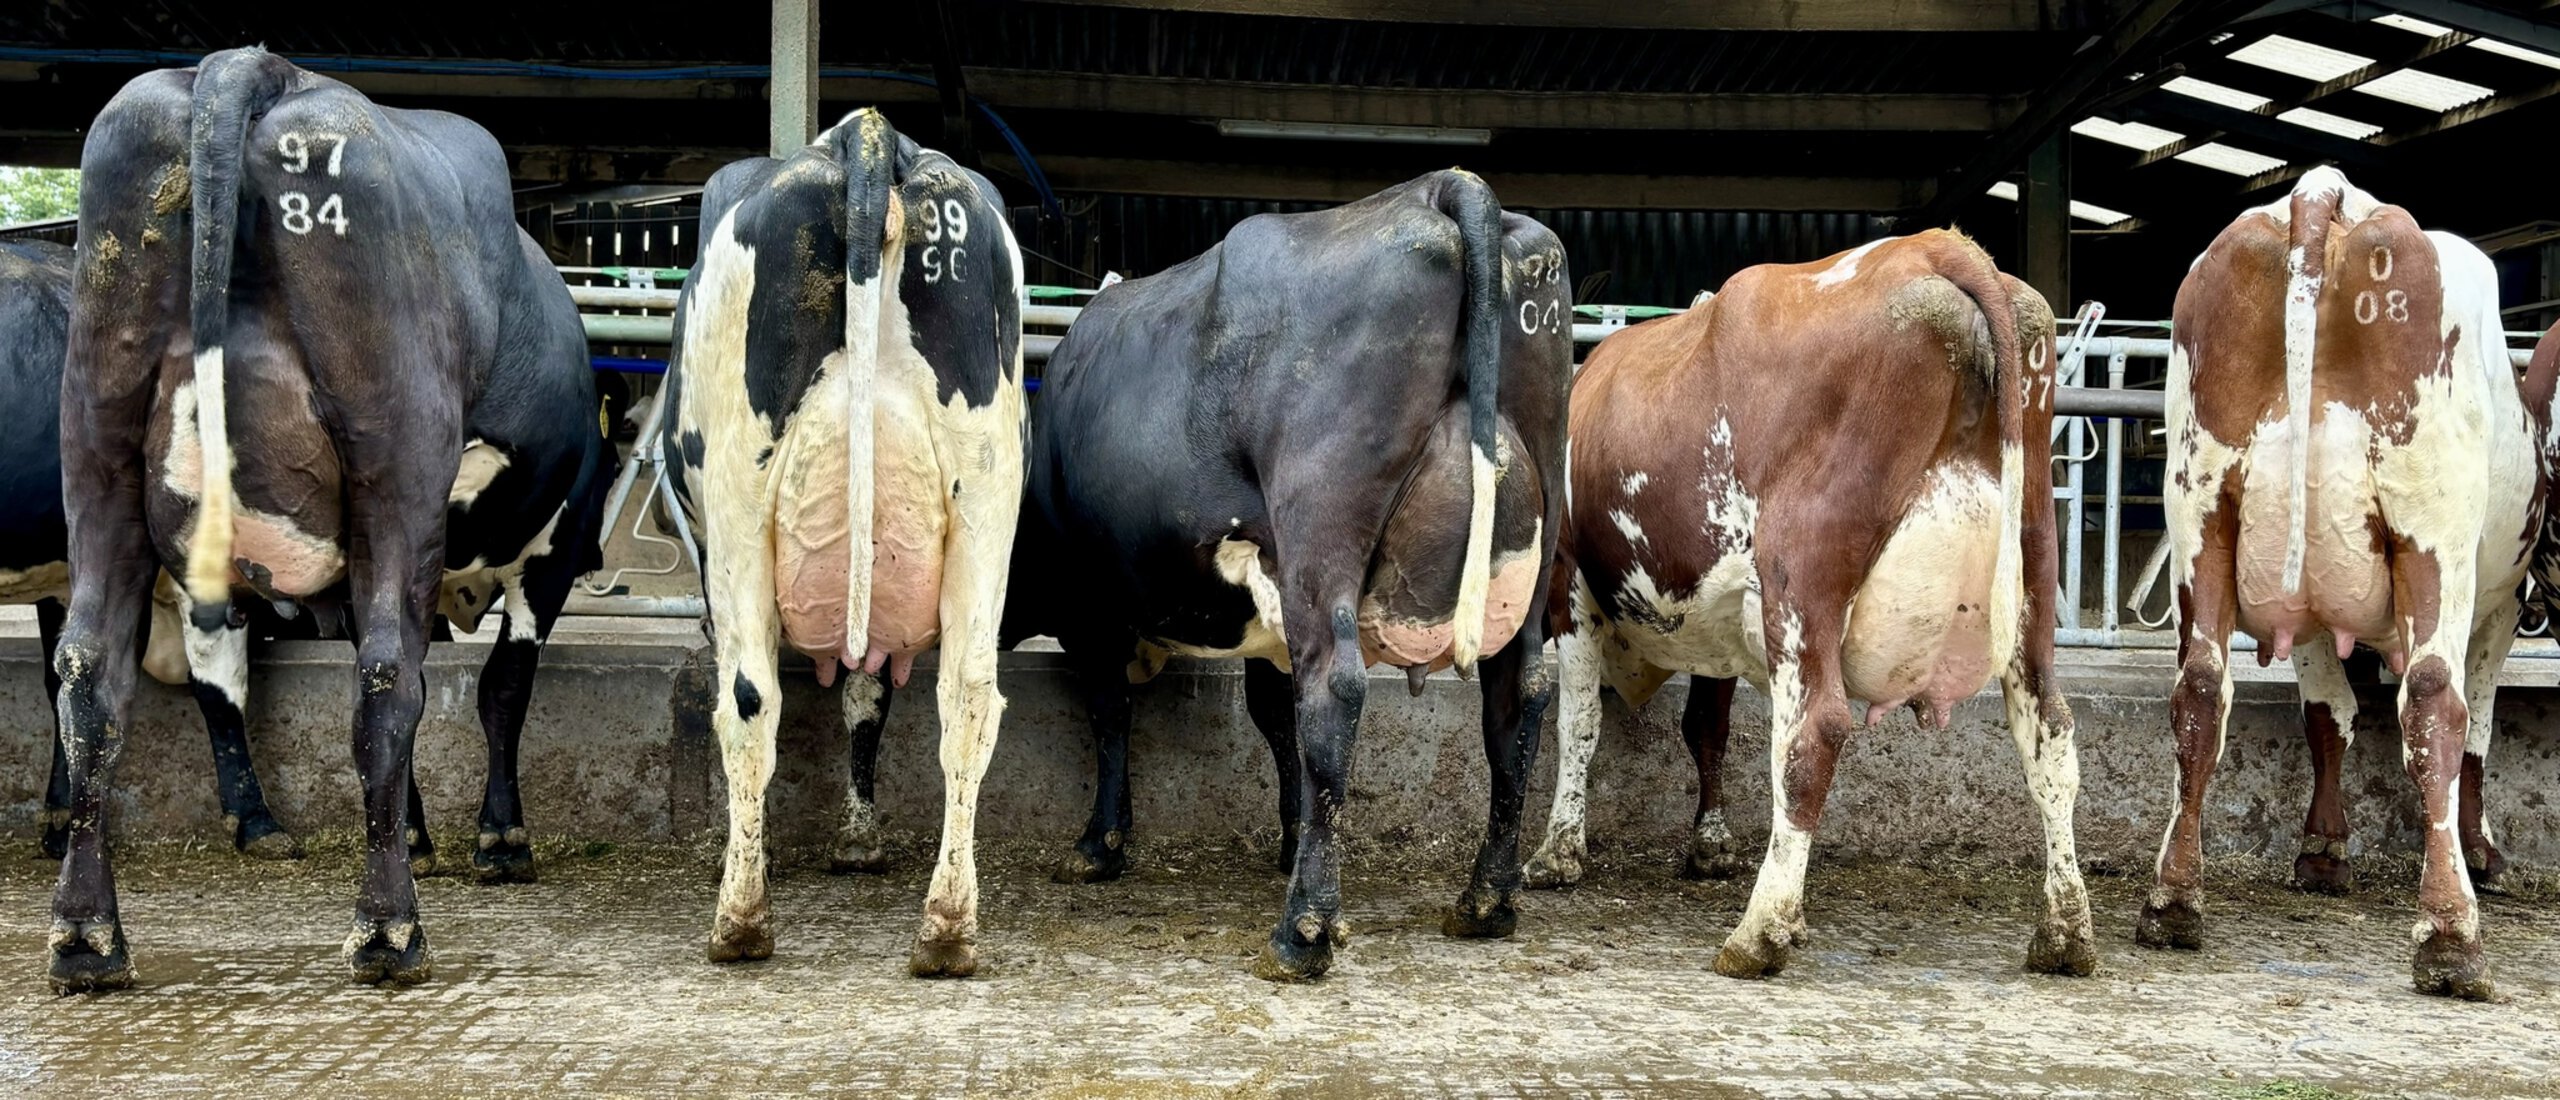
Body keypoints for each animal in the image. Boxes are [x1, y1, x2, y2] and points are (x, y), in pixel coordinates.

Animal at [47, 46, 612, 991]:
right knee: (388, 682)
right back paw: (388, 930)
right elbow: (498, 687)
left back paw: (86, 938)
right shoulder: (554, 547)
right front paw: (498, 839)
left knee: (90, 676)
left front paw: (423, 833)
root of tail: (260, 66)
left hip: (99, 451)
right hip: (397, 464)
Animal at [662, 109, 1024, 977]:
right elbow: (867, 694)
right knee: (968, 699)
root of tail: (870, 135)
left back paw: (741, 921)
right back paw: (947, 929)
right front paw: (859, 839)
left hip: (739, 499)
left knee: (749, 701)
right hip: (985, 497)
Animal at [983, 170, 1571, 981]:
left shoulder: (1092, 615)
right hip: (1532, 547)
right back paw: (1486, 901)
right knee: (1518, 703)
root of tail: (1439, 188)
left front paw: (1100, 844)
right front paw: (1289, 840)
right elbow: (1272, 719)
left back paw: (1304, 930)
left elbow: (1112, 716)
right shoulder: (1263, 624)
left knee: (1336, 693)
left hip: (1319, 534)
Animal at [1516, 230, 2095, 981]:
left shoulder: (1572, 583)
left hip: (1802, 570)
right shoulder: (1721, 618)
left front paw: (1557, 852)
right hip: (2033, 572)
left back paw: (1759, 932)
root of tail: (1937, 248)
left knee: (1811, 733)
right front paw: (1710, 843)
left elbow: (1578, 722)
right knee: (2049, 734)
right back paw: (2065, 932)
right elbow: (1706, 725)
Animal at [2147, 168, 2533, 1000]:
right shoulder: (2500, 607)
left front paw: (2322, 850)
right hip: (2431, 528)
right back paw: (2451, 937)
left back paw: (2173, 899)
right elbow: (2476, 727)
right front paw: (2483, 855)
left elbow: (2328, 714)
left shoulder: (2310, 613)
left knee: (2200, 691)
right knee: (2433, 701)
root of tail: (2327, 192)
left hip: (2202, 508)